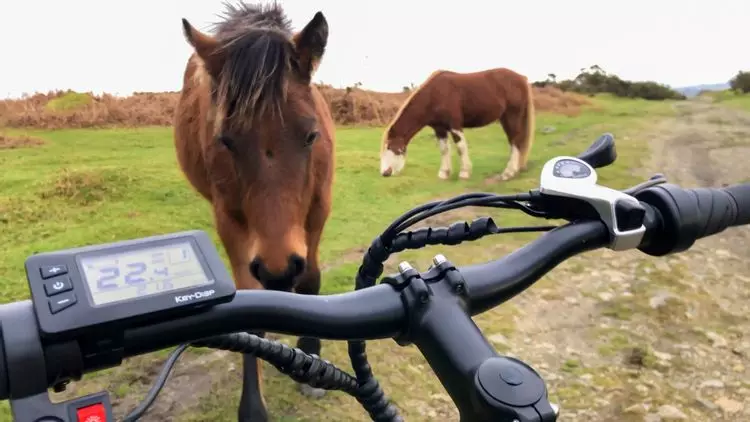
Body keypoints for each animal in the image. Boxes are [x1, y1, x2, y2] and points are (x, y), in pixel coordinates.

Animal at [174, 1, 334, 420]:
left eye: (311, 135)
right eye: (225, 140)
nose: (279, 269)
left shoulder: (318, 208)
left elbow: (310, 278)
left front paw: (311, 358)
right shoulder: (231, 223)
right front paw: (252, 407)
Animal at [382, 67, 536, 181]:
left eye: (392, 148)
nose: (385, 173)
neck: (434, 95)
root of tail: (521, 78)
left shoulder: (454, 125)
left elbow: (461, 148)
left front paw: (464, 173)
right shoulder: (439, 129)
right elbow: (444, 150)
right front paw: (444, 173)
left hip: (512, 116)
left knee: (515, 141)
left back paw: (508, 173)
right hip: (505, 118)